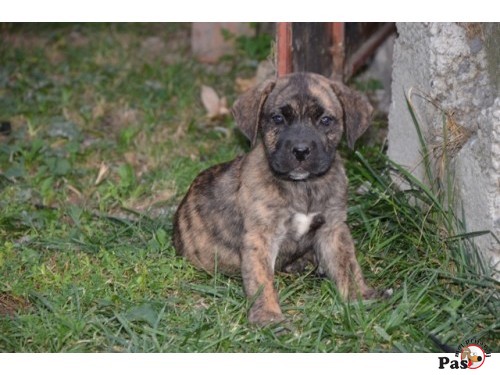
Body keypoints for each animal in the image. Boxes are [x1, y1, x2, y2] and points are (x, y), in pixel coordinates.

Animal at [172, 72, 382, 324]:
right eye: (278, 118)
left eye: (325, 120)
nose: (300, 151)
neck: (303, 187)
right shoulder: (261, 236)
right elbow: (262, 279)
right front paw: (268, 316)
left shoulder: (333, 228)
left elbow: (348, 264)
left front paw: (359, 296)